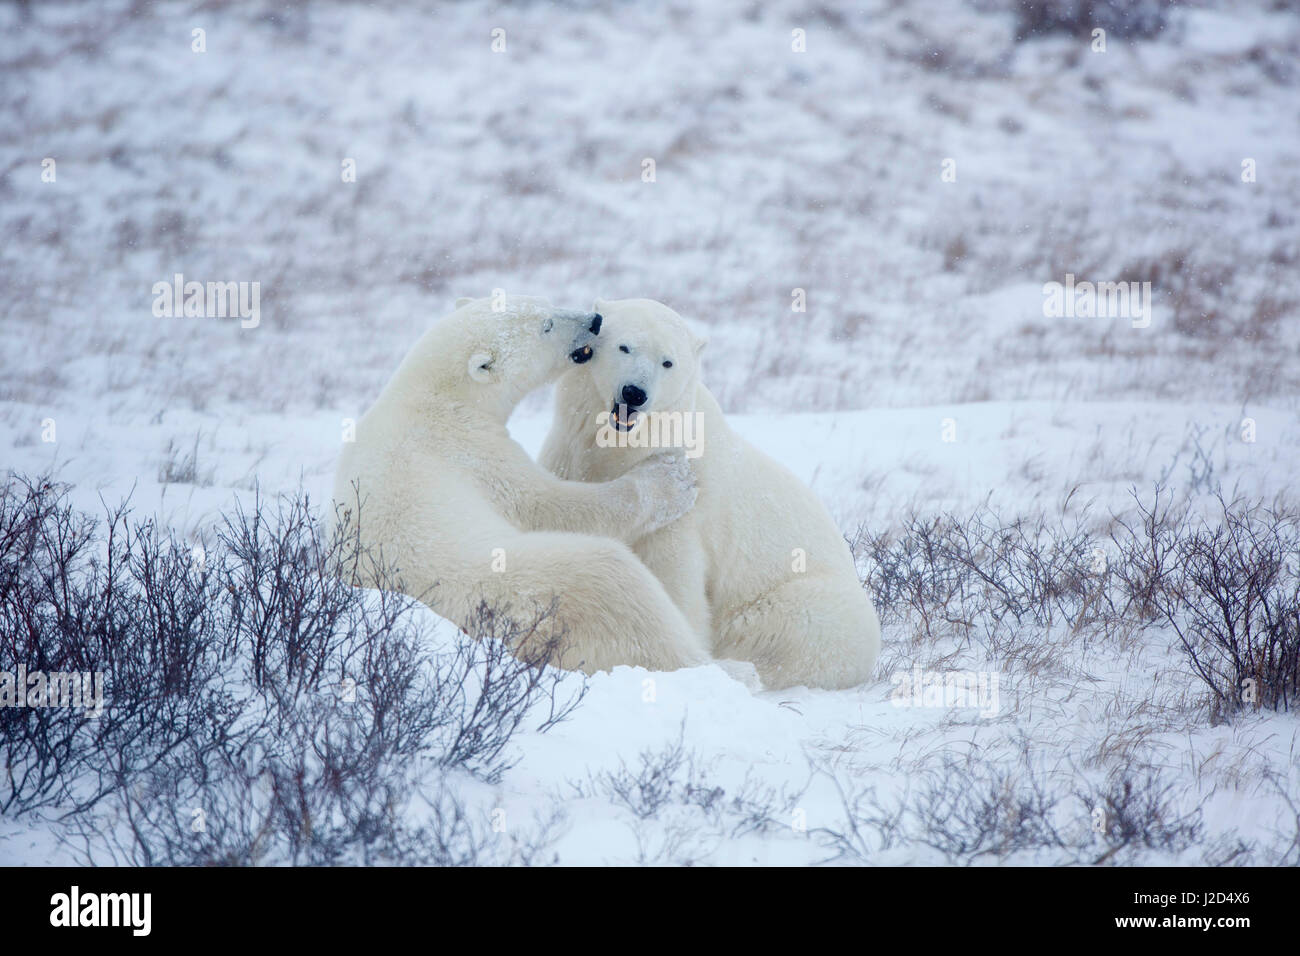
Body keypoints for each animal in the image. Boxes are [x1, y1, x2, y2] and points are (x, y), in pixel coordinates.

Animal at [330, 294, 713, 675]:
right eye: (546, 325)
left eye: (544, 303)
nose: (595, 320)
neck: (435, 395)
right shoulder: (472, 450)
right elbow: (549, 506)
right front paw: (671, 479)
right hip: (541, 593)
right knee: (620, 585)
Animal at [539, 297, 881, 690]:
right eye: (624, 346)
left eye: (668, 362)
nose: (634, 393)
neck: (627, 444)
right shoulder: (567, 452)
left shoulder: (689, 501)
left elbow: (674, 572)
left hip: (807, 605)